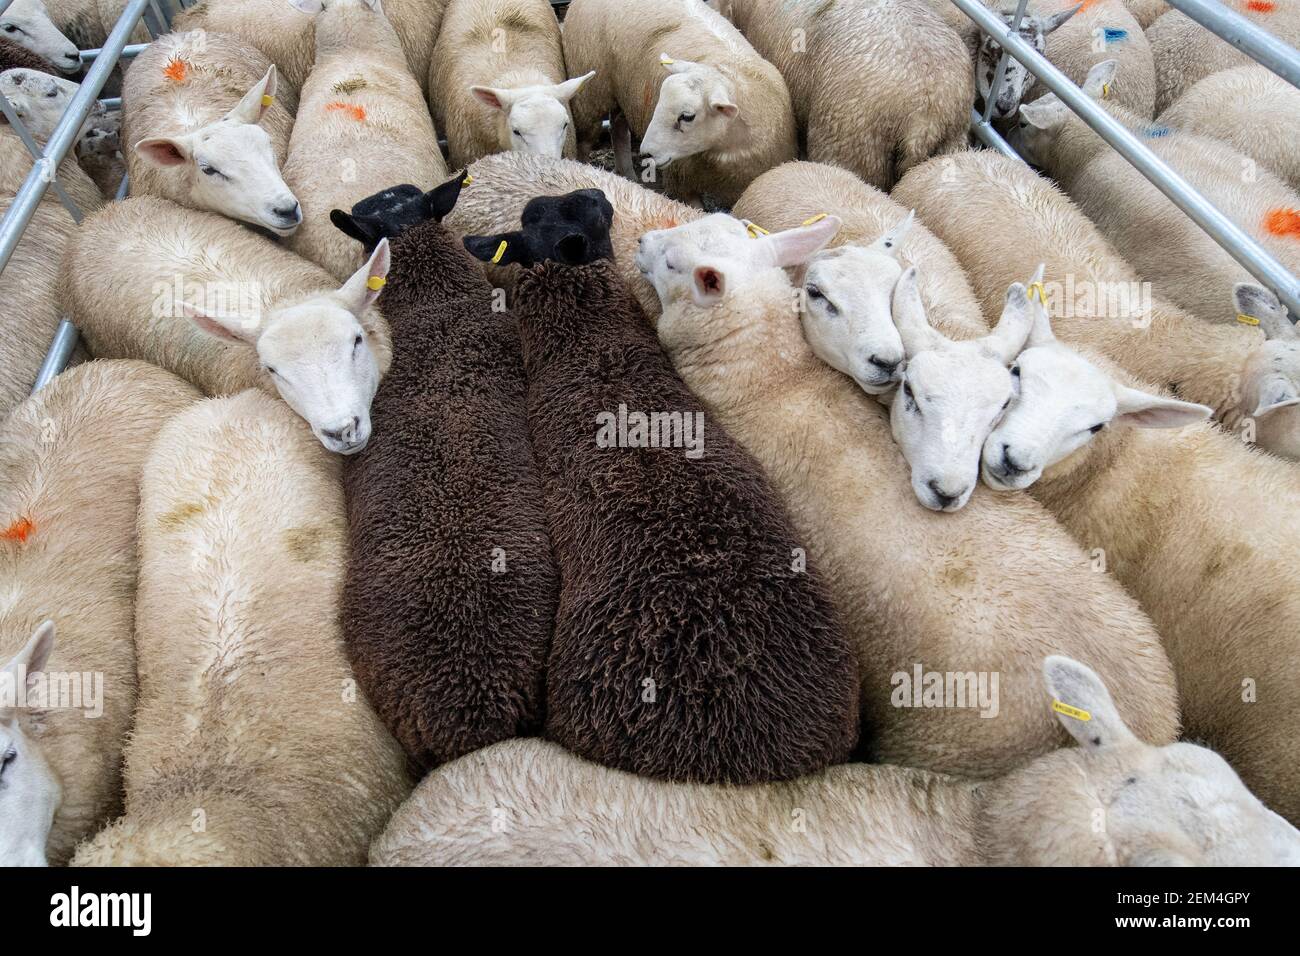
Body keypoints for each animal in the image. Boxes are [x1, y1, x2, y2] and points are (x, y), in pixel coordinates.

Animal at [562, 0, 797, 207]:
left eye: (687, 116)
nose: (646, 154)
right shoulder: (682, 183)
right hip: (592, 93)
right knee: (585, 140)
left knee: (618, 127)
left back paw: (628, 175)